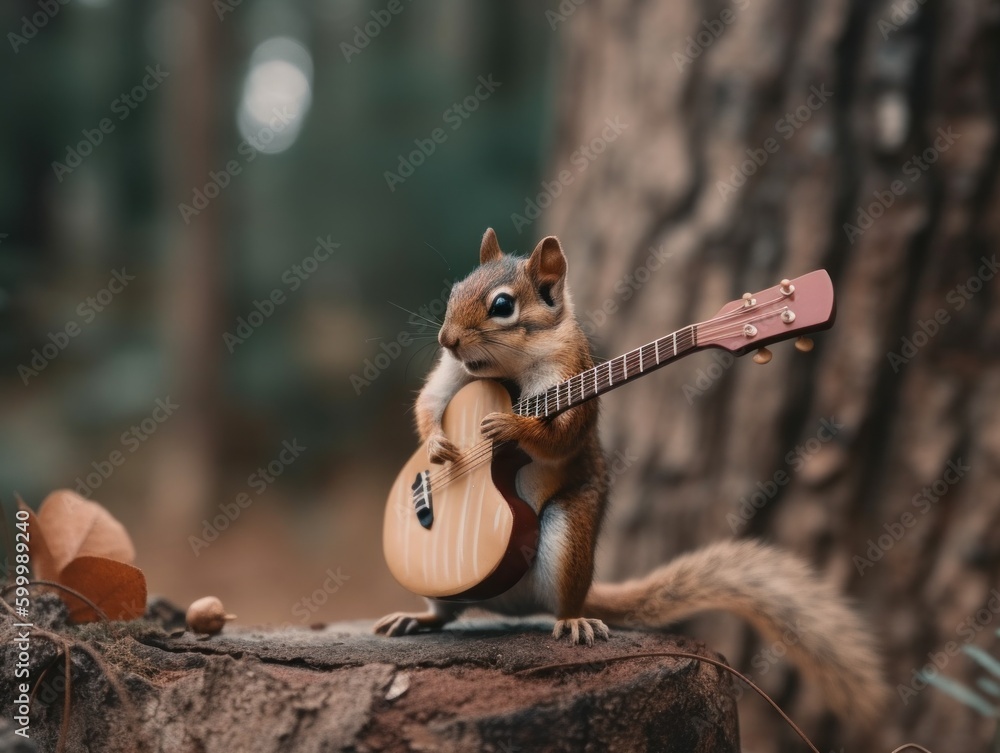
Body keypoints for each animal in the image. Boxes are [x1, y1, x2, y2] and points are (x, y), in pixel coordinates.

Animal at [375, 228, 887, 723]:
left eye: (502, 306)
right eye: (455, 290)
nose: (446, 340)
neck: (505, 368)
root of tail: (513, 605)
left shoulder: (569, 375)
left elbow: (559, 438)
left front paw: (512, 427)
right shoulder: (451, 375)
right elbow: (430, 403)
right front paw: (436, 449)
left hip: (568, 532)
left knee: (564, 600)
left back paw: (574, 621)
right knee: (445, 615)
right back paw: (414, 620)